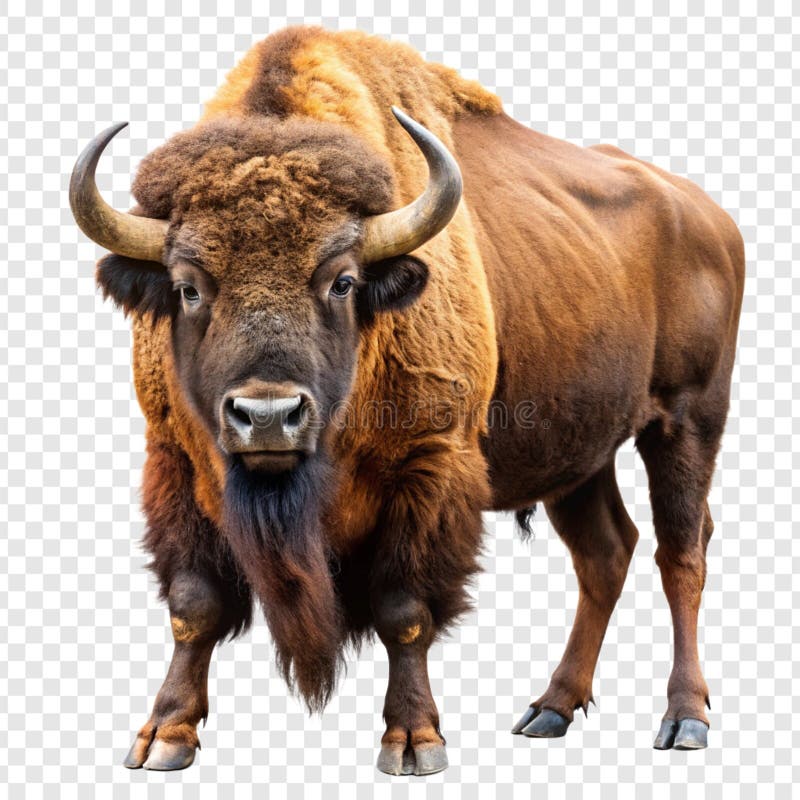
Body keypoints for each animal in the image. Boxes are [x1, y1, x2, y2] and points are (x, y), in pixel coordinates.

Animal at [70, 26, 744, 774]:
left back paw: (685, 719)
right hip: (580, 454)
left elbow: (406, 611)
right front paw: (164, 737)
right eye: (188, 286)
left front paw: (415, 741)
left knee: (681, 553)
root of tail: (711, 217)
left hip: (687, 422)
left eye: (342, 280)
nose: (268, 417)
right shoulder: (178, 462)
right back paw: (550, 709)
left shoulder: (428, 472)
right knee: (606, 552)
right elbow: (196, 604)